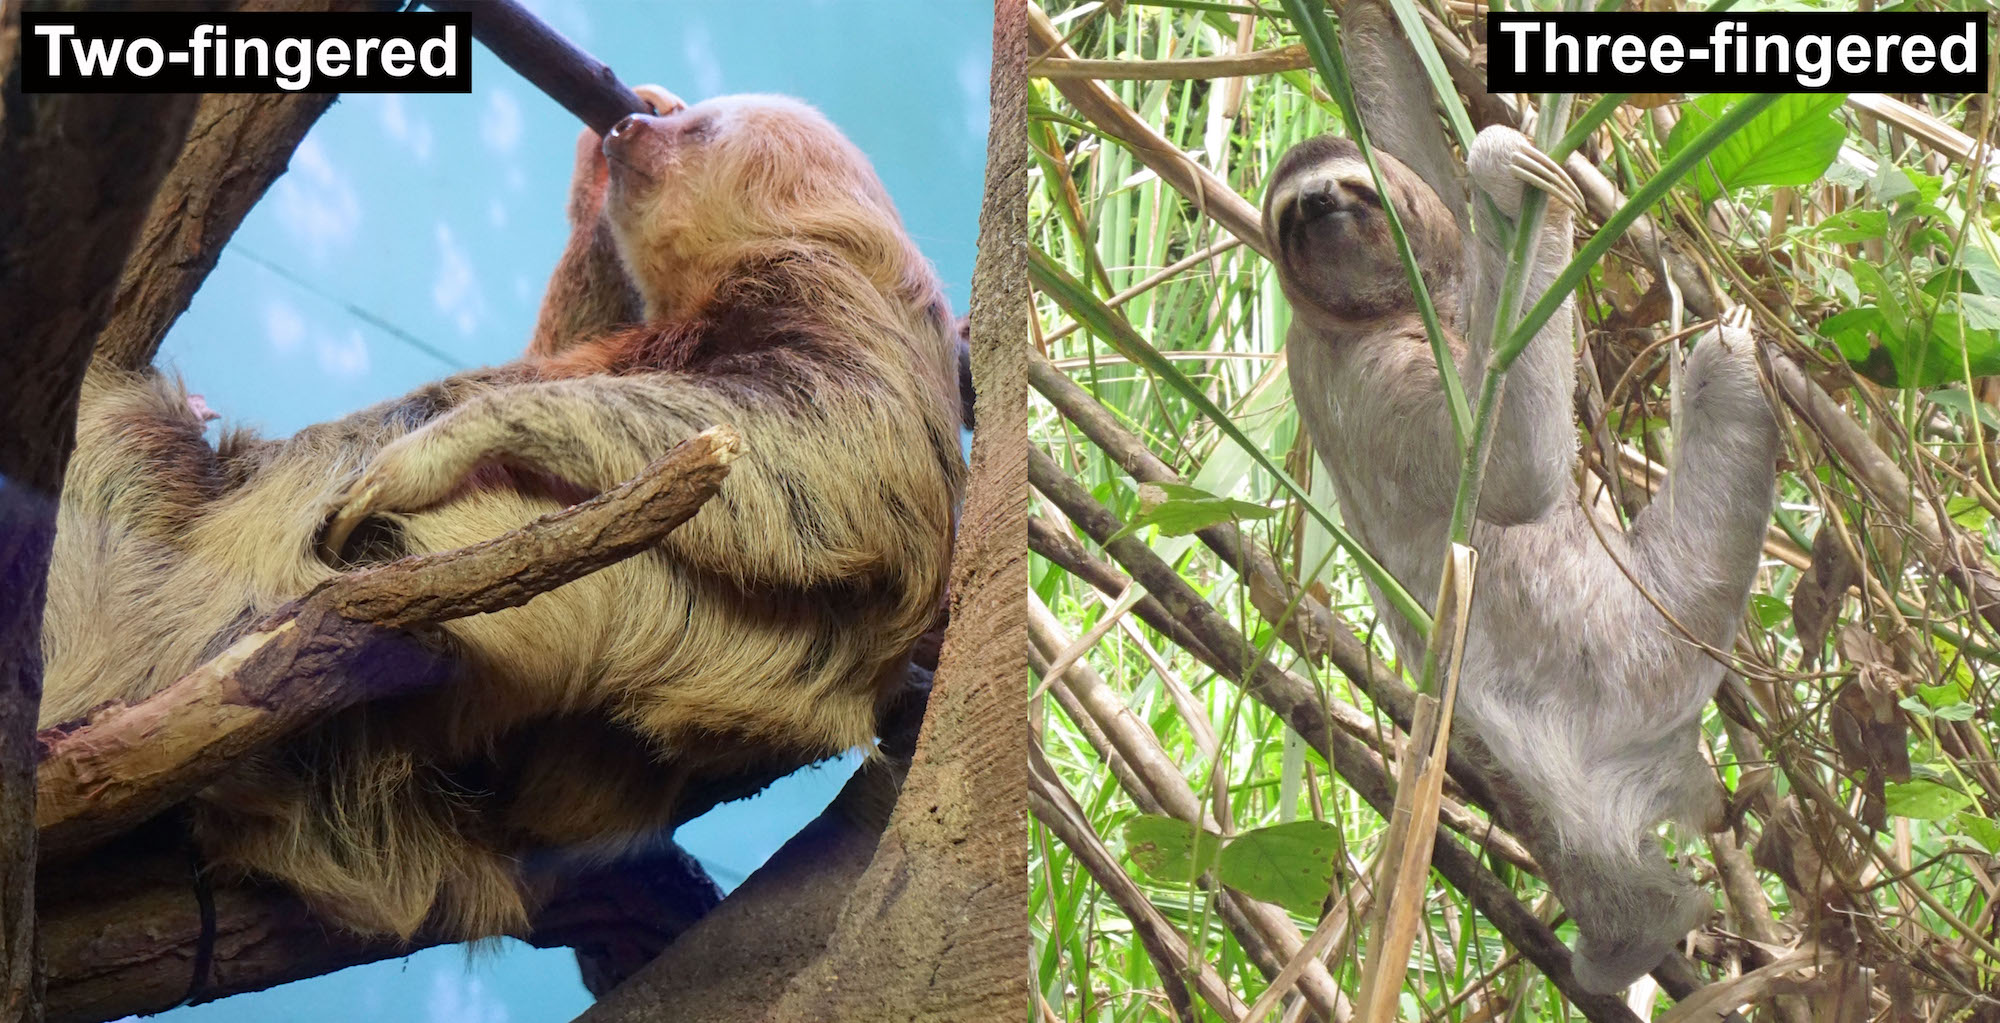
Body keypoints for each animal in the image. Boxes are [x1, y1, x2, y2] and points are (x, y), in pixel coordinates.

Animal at [40, 88, 967, 942]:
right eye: (676, 115)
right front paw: (592, 176)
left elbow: (844, 457)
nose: (635, 128)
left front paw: (436, 447)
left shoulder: (821, 295)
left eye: (700, 132)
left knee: (123, 427)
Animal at [1261, 6, 1780, 994]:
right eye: (1291, 214)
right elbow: (1512, 471)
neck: (1379, 312)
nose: (1317, 209)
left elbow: (1411, 138)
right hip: (1647, 646)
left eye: (1350, 188)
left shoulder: (1443, 271)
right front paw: (1504, 168)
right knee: (1723, 414)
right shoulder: (1372, 376)